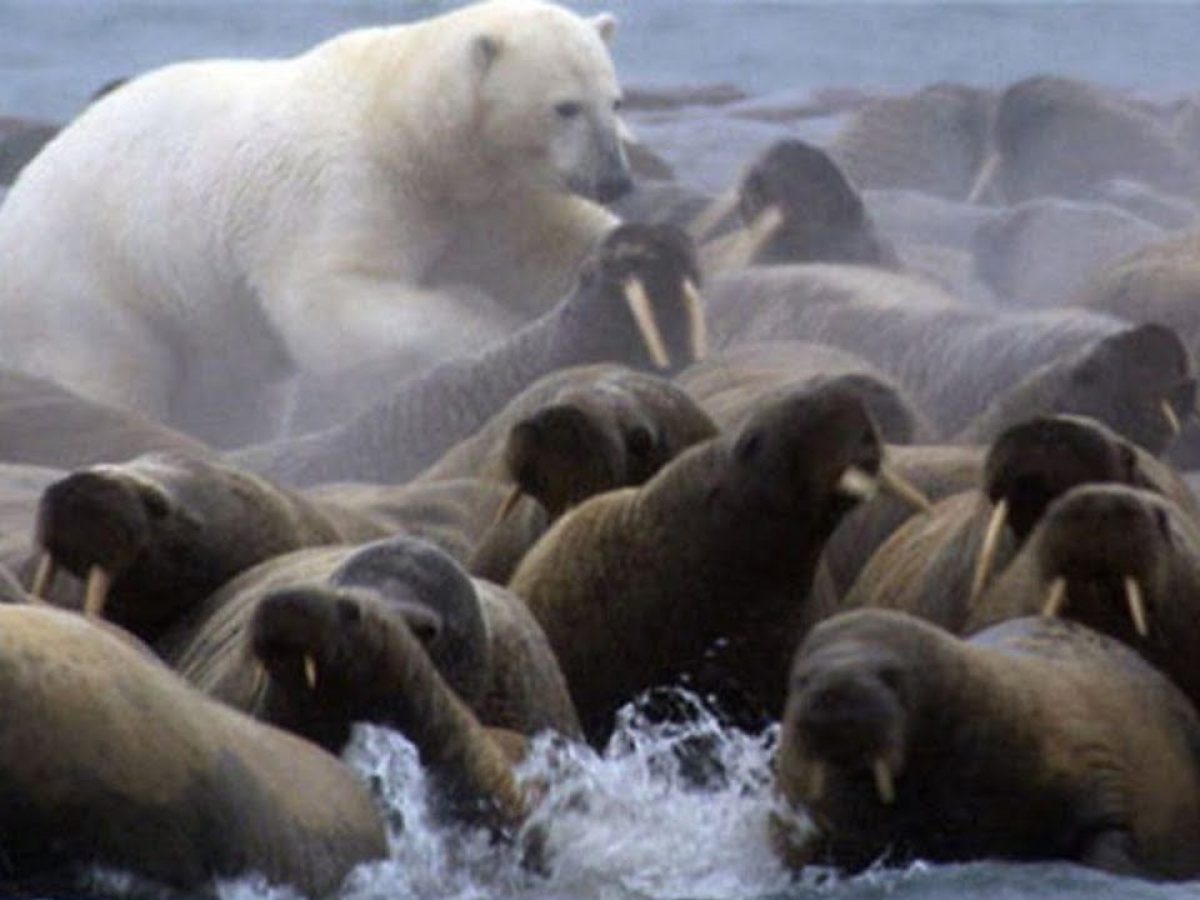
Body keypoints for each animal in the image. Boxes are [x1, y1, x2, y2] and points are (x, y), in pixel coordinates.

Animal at [0, 0, 630, 446]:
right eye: (565, 107)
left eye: (614, 101)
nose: (617, 179)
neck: (403, 120)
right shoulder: (343, 186)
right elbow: (334, 299)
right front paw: (486, 327)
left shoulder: (488, 201)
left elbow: (545, 245)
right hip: (85, 287)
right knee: (114, 373)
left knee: (235, 397)